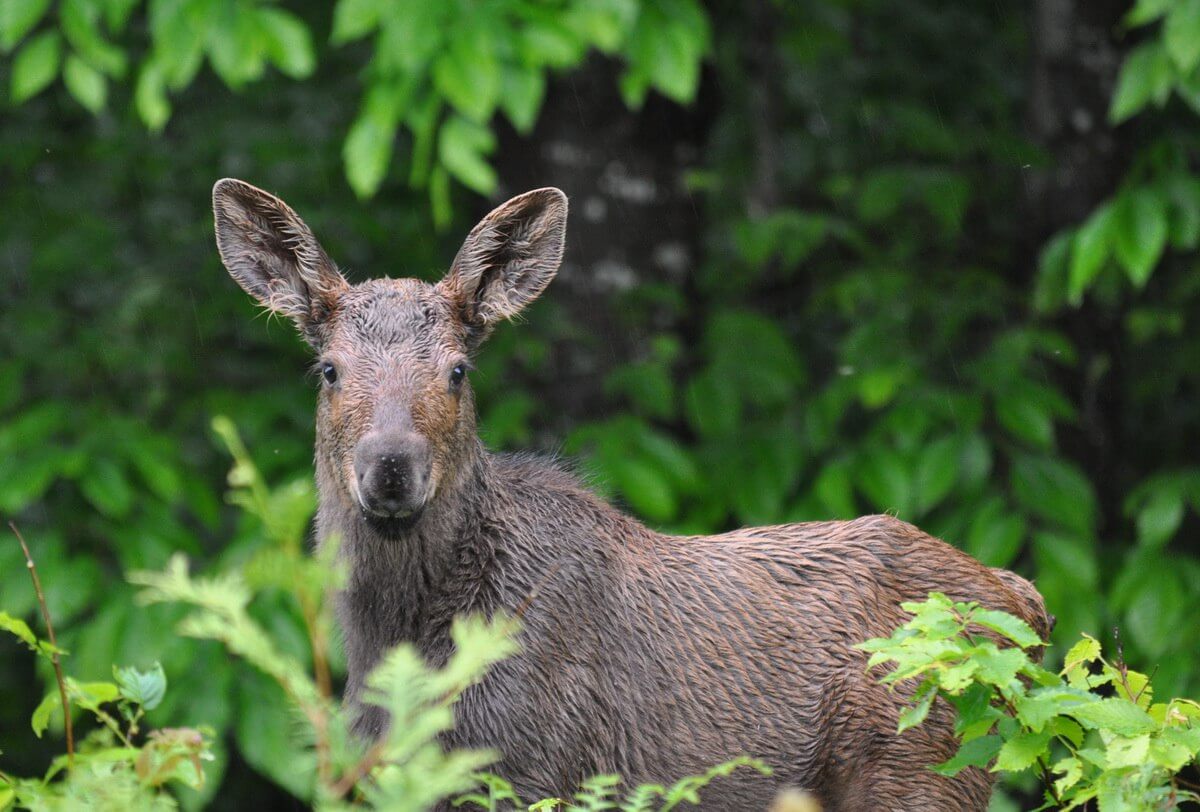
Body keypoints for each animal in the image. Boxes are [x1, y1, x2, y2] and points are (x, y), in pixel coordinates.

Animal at [212, 179, 1050, 811]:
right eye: (329, 370)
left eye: (457, 369)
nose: (390, 467)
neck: (395, 645)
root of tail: (1021, 598)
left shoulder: (536, 772)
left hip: (922, 770)